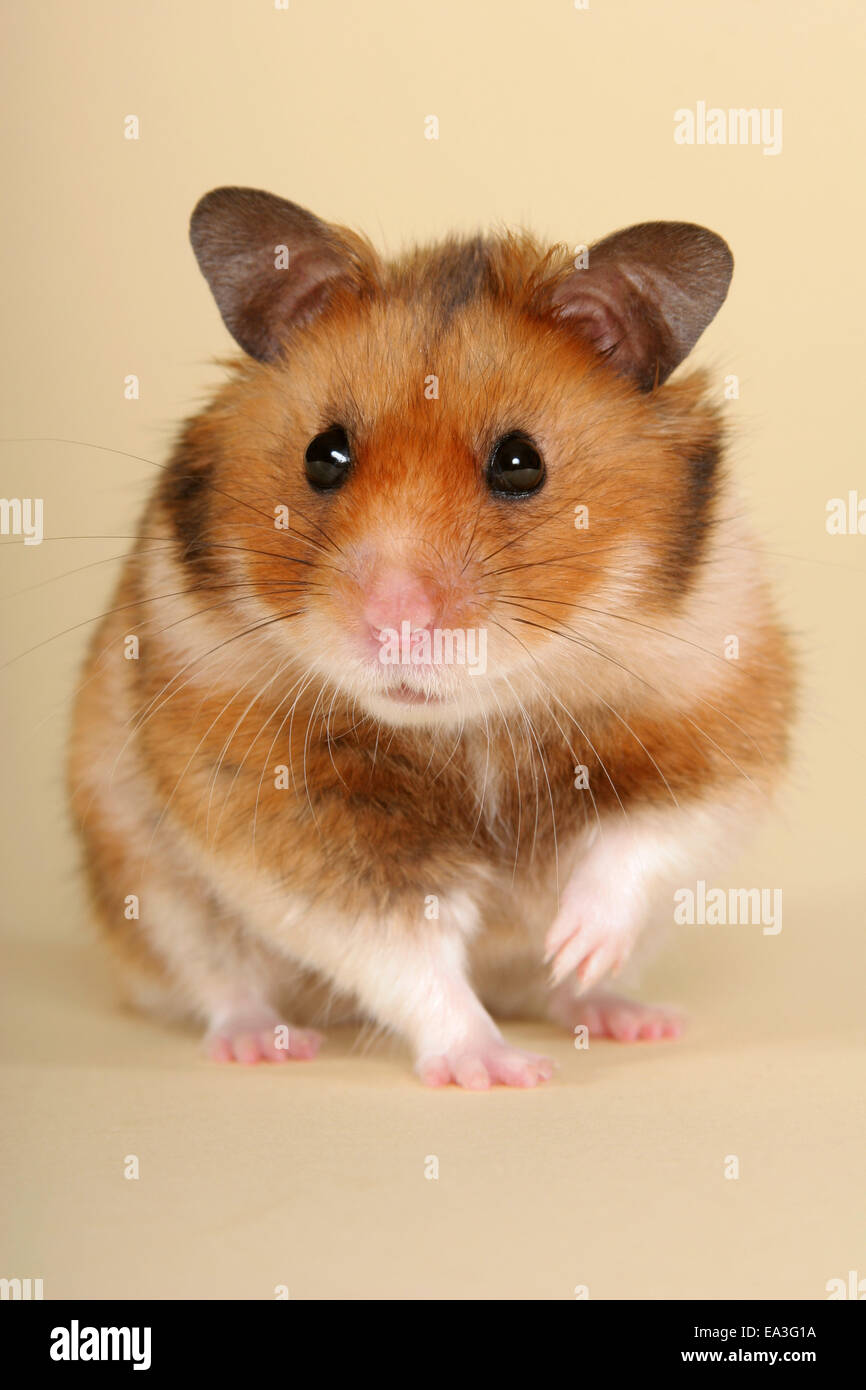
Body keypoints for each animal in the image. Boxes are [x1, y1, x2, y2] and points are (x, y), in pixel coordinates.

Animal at [68, 186, 795, 1088]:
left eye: (521, 463)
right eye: (324, 455)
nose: (395, 622)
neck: (471, 724)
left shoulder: (718, 726)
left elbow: (643, 844)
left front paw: (572, 946)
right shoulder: (282, 810)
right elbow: (404, 953)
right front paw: (499, 1069)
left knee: (565, 985)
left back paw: (624, 1011)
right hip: (152, 888)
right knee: (221, 981)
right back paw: (265, 1043)